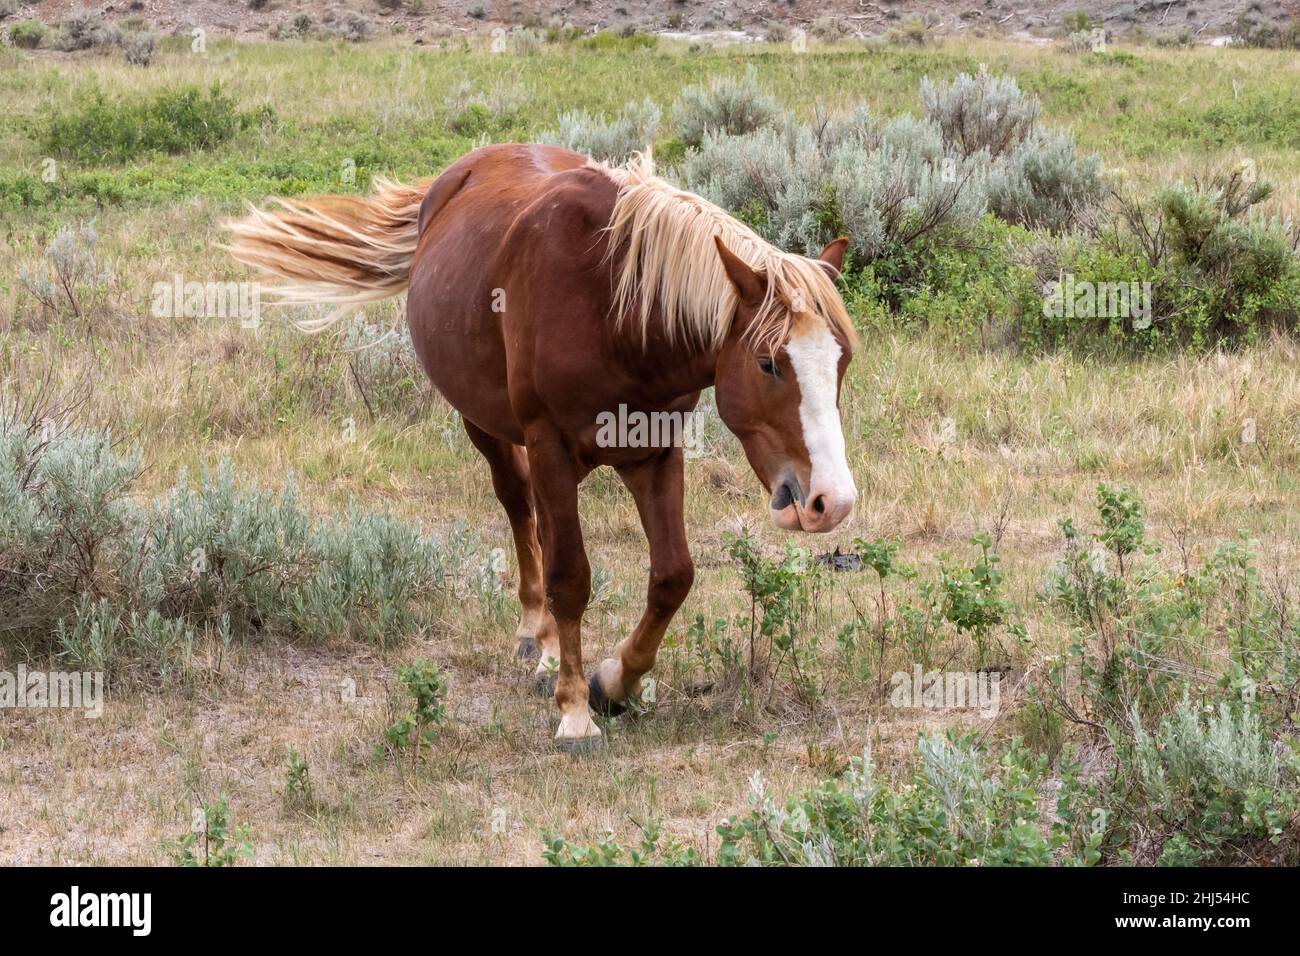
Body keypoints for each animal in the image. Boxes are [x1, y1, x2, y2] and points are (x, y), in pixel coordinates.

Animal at [227, 144, 858, 750]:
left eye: (843, 360)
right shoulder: (549, 444)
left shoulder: (655, 452)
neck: (615, 310)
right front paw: (576, 712)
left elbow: (672, 576)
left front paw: (615, 682)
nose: (832, 501)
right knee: (519, 507)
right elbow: (570, 579)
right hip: (486, 425)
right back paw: (537, 634)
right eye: (768, 362)